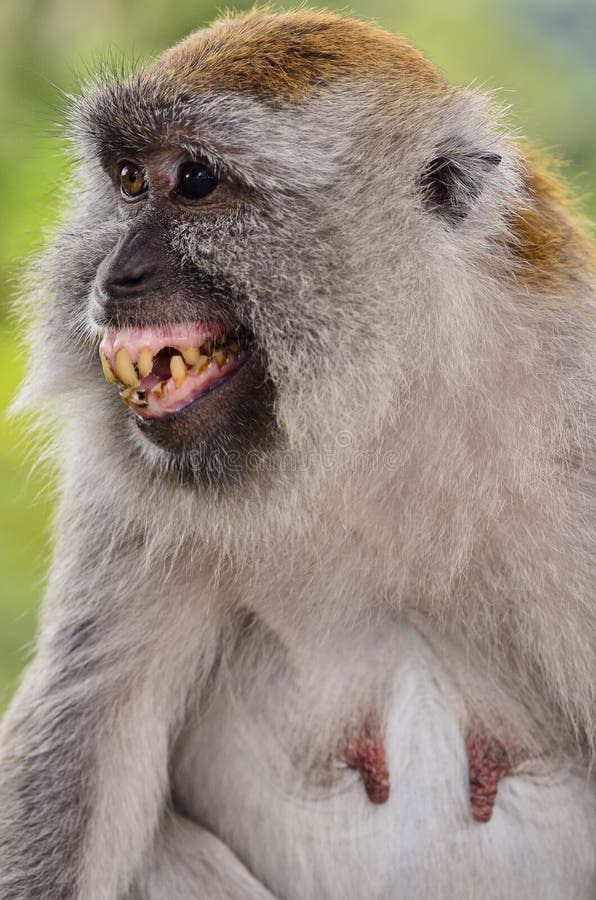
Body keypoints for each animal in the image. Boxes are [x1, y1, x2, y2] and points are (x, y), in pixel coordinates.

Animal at [0, 8, 595, 899]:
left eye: (197, 182)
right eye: (129, 180)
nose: (112, 274)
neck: (378, 417)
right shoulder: (129, 490)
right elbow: (75, 754)